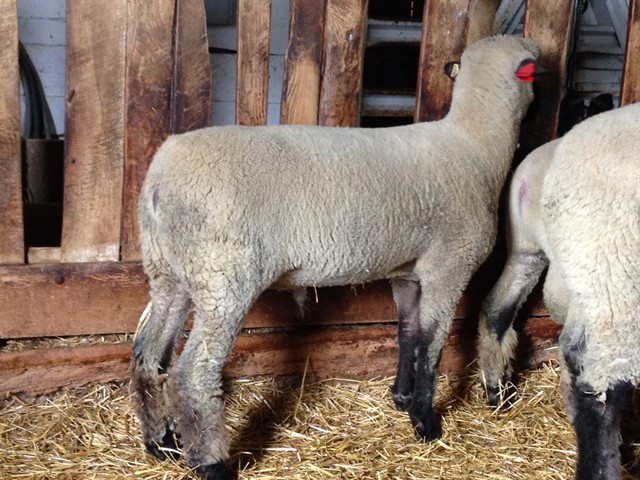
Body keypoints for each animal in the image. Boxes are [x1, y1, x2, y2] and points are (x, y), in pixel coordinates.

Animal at [131, 35, 541, 479]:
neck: (476, 144)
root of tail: (159, 183)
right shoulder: (448, 266)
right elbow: (431, 345)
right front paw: (425, 423)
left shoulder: (406, 273)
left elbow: (408, 333)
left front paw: (400, 397)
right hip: (222, 275)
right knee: (194, 374)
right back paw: (212, 464)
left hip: (170, 272)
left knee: (148, 354)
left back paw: (161, 443)